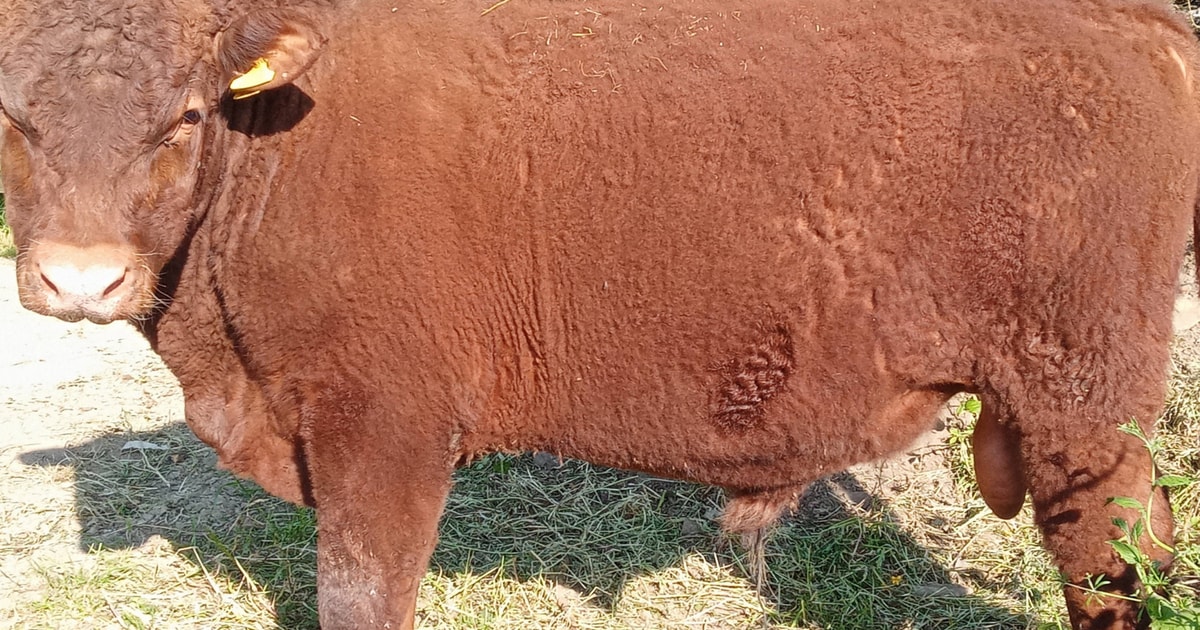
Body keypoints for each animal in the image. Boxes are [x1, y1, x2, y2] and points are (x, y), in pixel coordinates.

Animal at [1, 0, 1197, 627]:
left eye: (184, 116)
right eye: (13, 115)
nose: (79, 279)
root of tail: (1134, 21)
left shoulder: (383, 430)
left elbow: (362, 593)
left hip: (1084, 405)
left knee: (1112, 558)